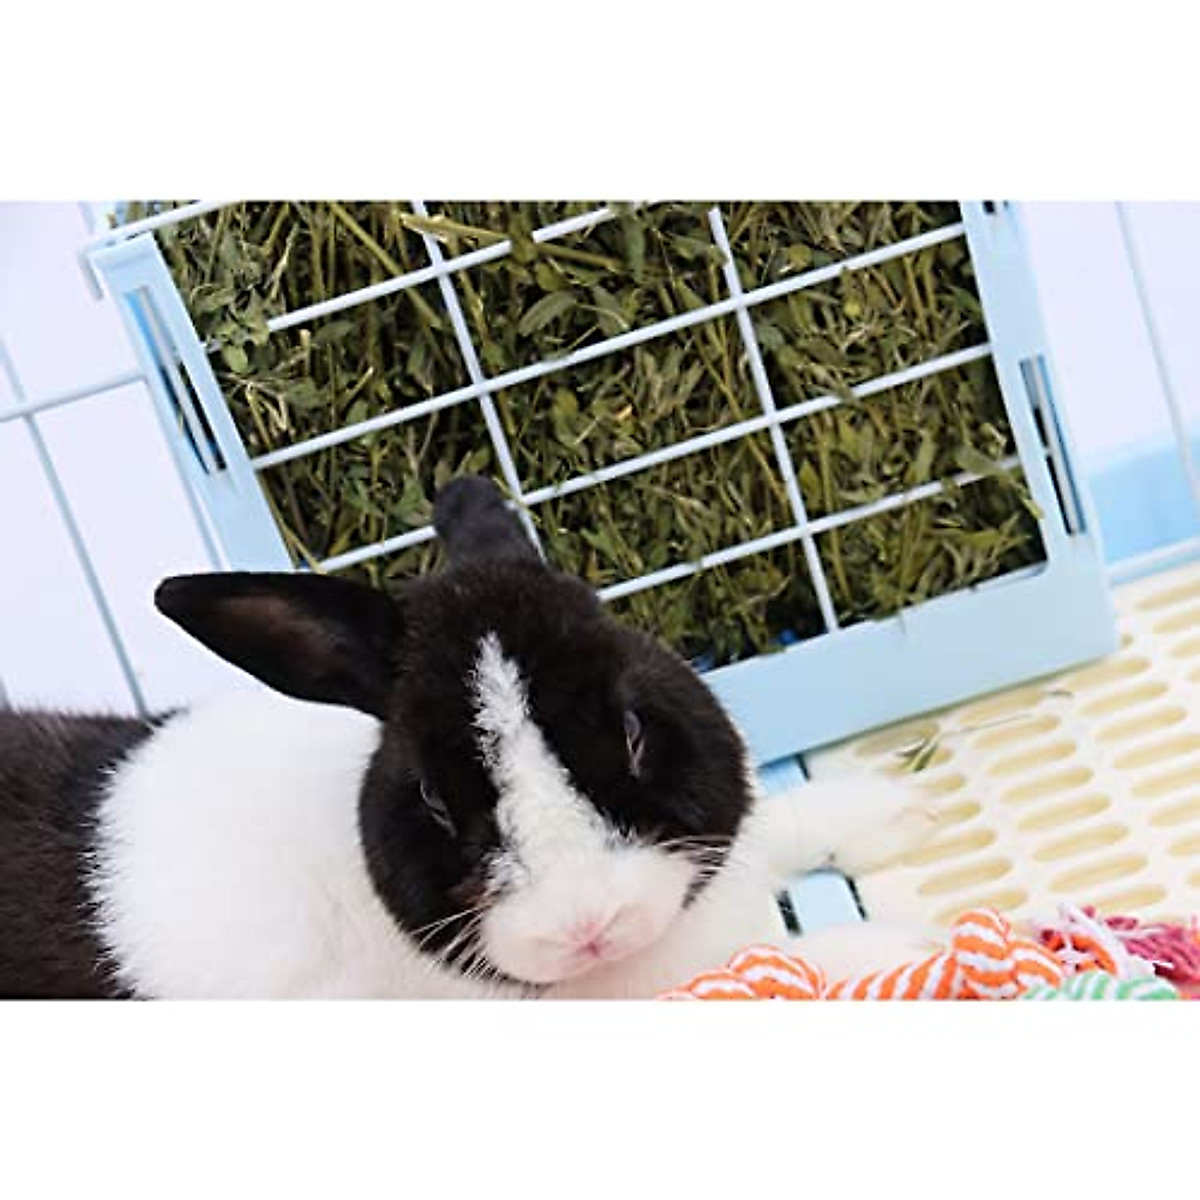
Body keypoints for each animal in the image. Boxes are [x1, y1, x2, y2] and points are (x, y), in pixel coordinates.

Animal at [0, 475, 942, 999]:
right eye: (431, 796)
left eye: (634, 728)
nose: (589, 925)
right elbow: (786, 964)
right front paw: (899, 949)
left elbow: (769, 828)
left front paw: (894, 810)